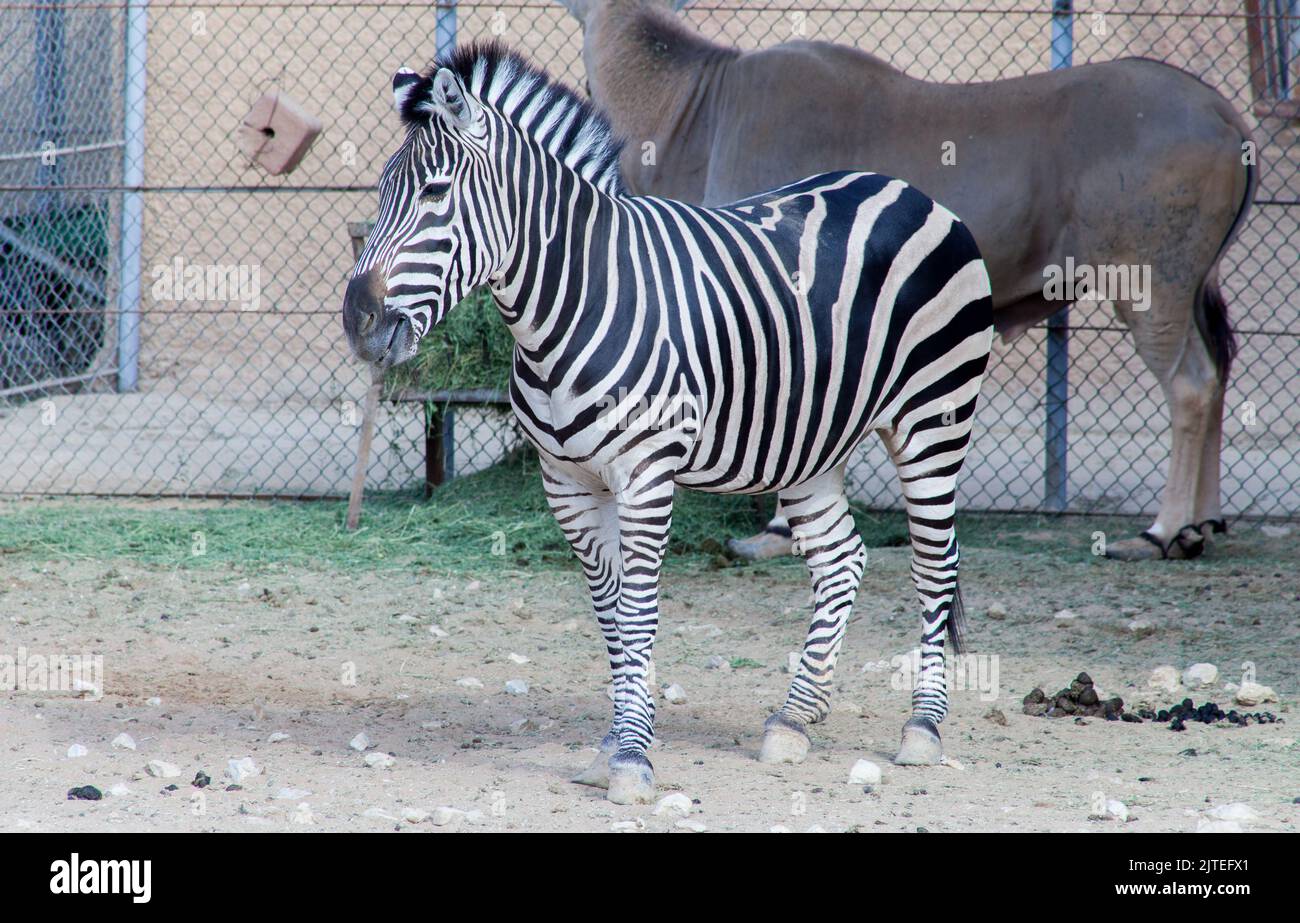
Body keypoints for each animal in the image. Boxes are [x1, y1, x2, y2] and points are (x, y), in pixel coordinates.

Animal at [342, 42, 994, 805]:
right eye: (382, 194)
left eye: (435, 194)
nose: (357, 319)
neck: (569, 304)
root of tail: (910, 190)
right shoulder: (566, 482)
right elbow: (609, 611)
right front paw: (614, 744)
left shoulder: (646, 475)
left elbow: (638, 610)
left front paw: (631, 756)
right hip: (810, 439)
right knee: (841, 559)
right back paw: (794, 719)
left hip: (934, 419)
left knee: (934, 565)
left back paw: (923, 729)